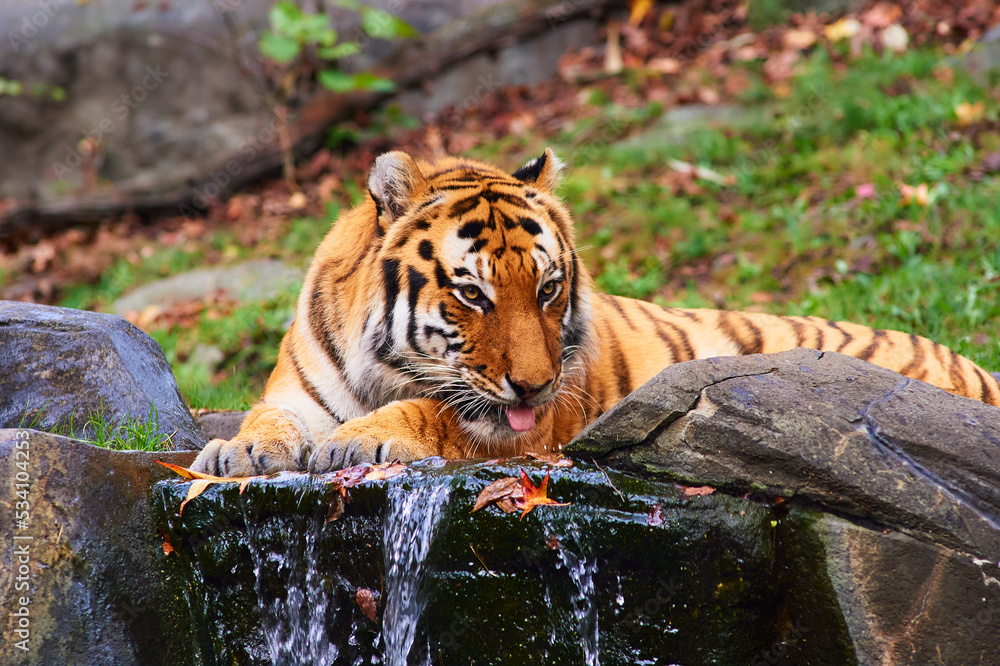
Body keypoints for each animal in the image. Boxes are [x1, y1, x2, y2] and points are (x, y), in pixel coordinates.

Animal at [191, 149, 1000, 477]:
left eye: (548, 288)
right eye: (473, 293)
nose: (534, 383)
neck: (384, 371)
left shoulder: (541, 421)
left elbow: (439, 413)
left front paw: (361, 440)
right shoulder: (297, 390)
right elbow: (267, 420)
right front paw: (238, 451)